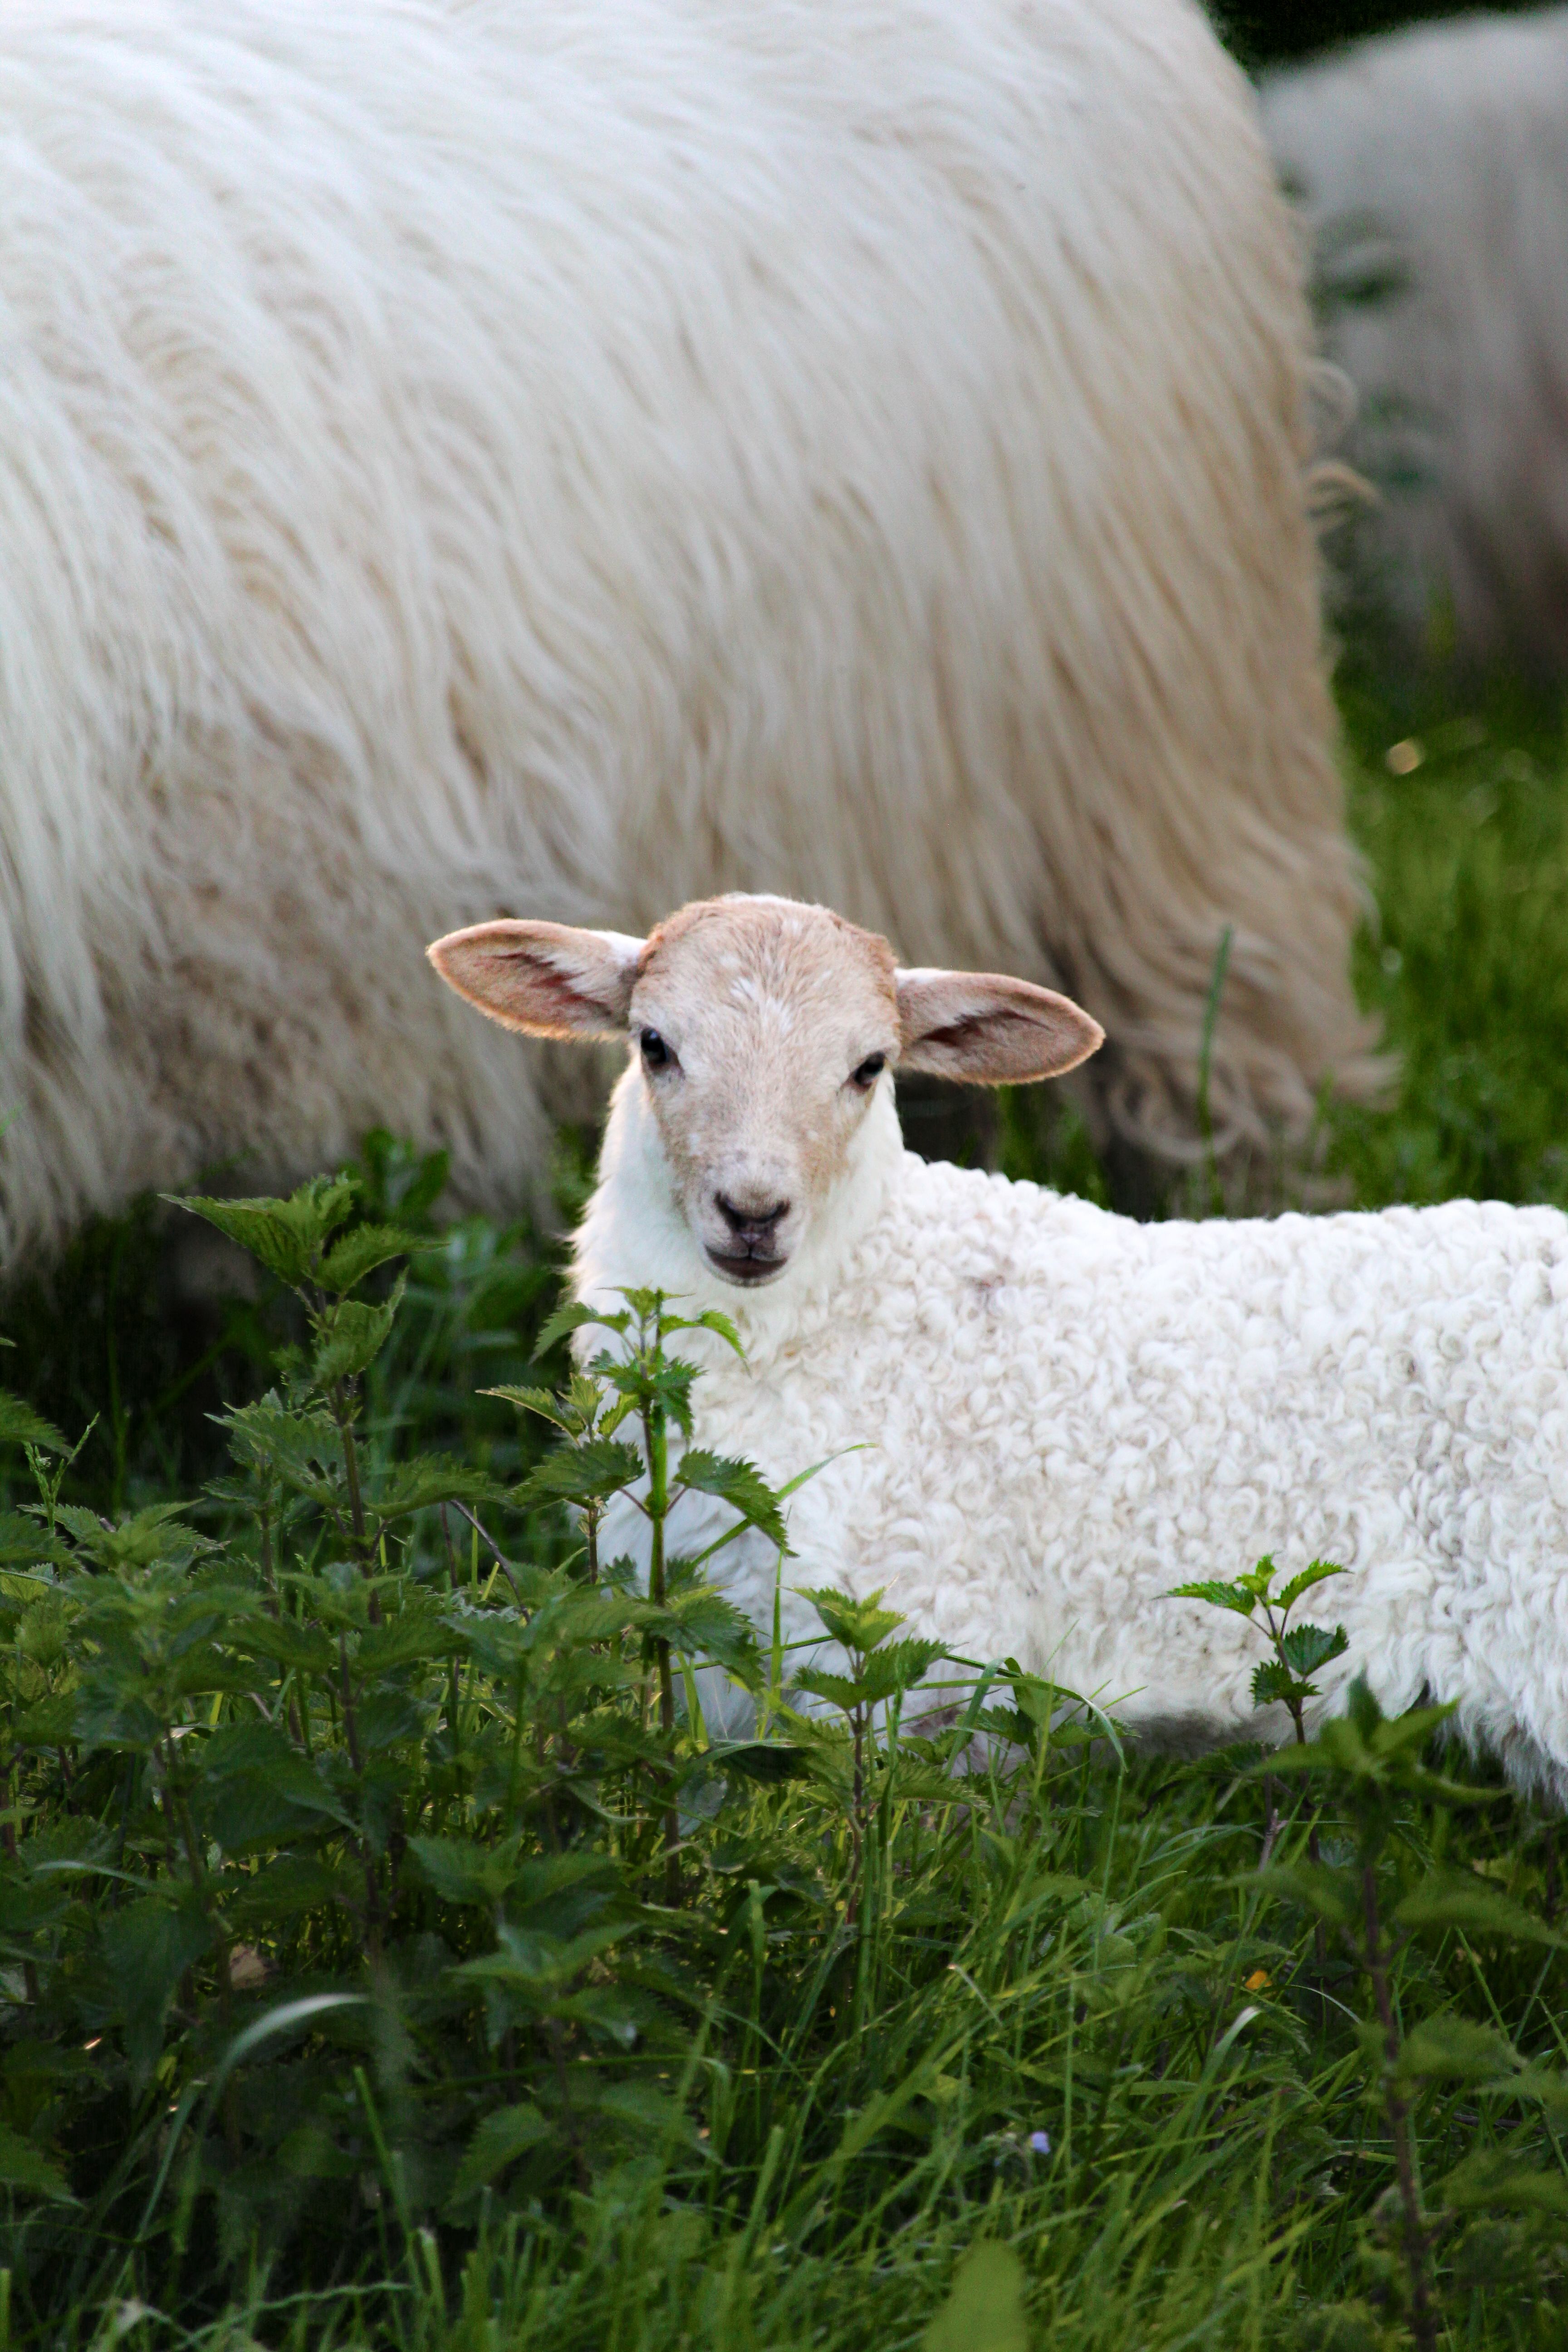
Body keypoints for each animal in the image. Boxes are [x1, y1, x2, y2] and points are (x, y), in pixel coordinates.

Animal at [430, 892, 1568, 1802]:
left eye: (870, 1066)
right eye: (655, 1044)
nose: (754, 1214)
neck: (849, 1310)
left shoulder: (922, 1645)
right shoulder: (716, 1649)